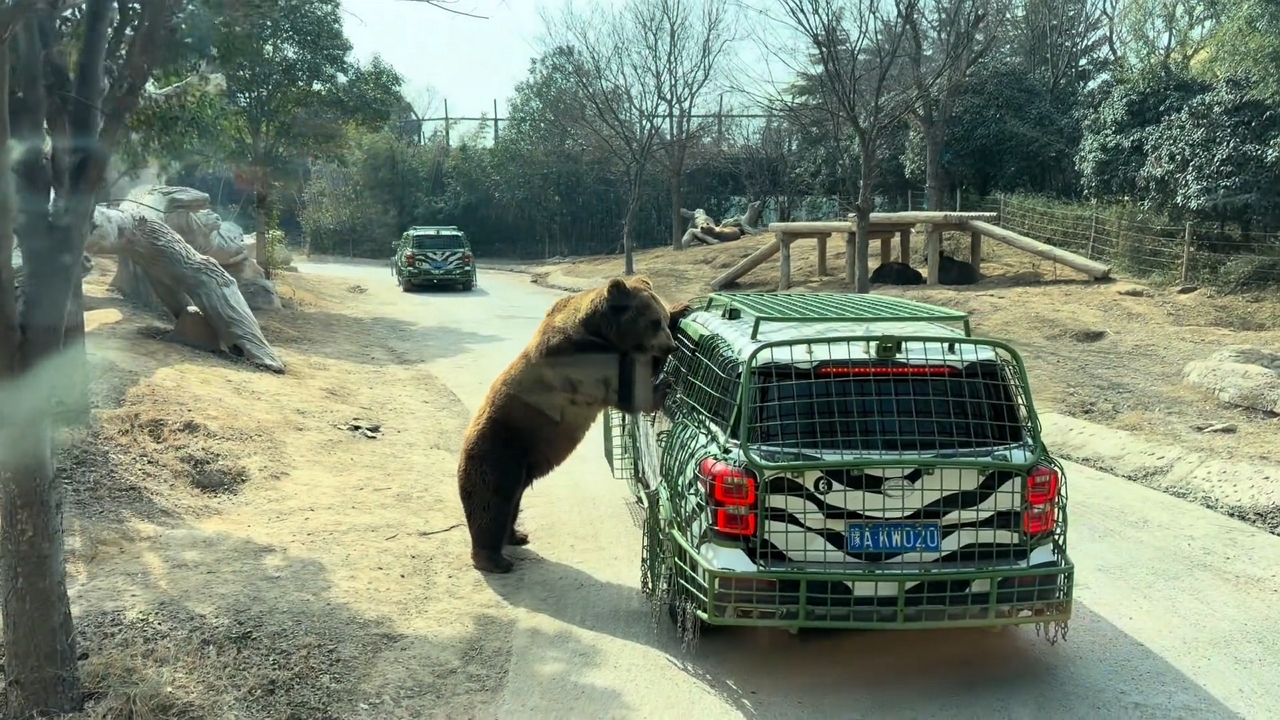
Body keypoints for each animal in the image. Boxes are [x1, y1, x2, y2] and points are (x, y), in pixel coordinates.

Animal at [457, 276, 692, 574]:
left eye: (661, 317)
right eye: (652, 322)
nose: (670, 346)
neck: (598, 331)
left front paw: (682, 308)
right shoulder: (579, 359)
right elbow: (626, 387)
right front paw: (662, 386)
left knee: (512, 502)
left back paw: (516, 536)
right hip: (502, 449)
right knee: (492, 502)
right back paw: (495, 559)